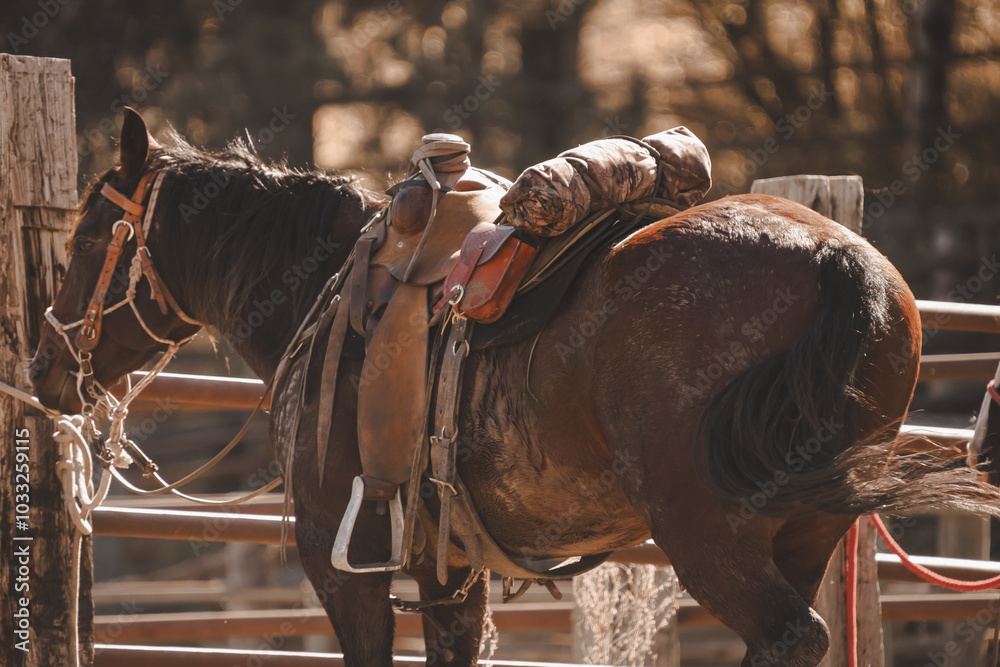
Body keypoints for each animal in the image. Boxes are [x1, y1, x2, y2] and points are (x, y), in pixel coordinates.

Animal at [29, 108, 1000, 667]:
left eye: (86, 237)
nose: (43, 366)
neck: (319, 289)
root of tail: (836, 254)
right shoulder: (449, 569)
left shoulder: (339, 563)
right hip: (806, 528)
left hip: (706, 527)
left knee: (790, 637)